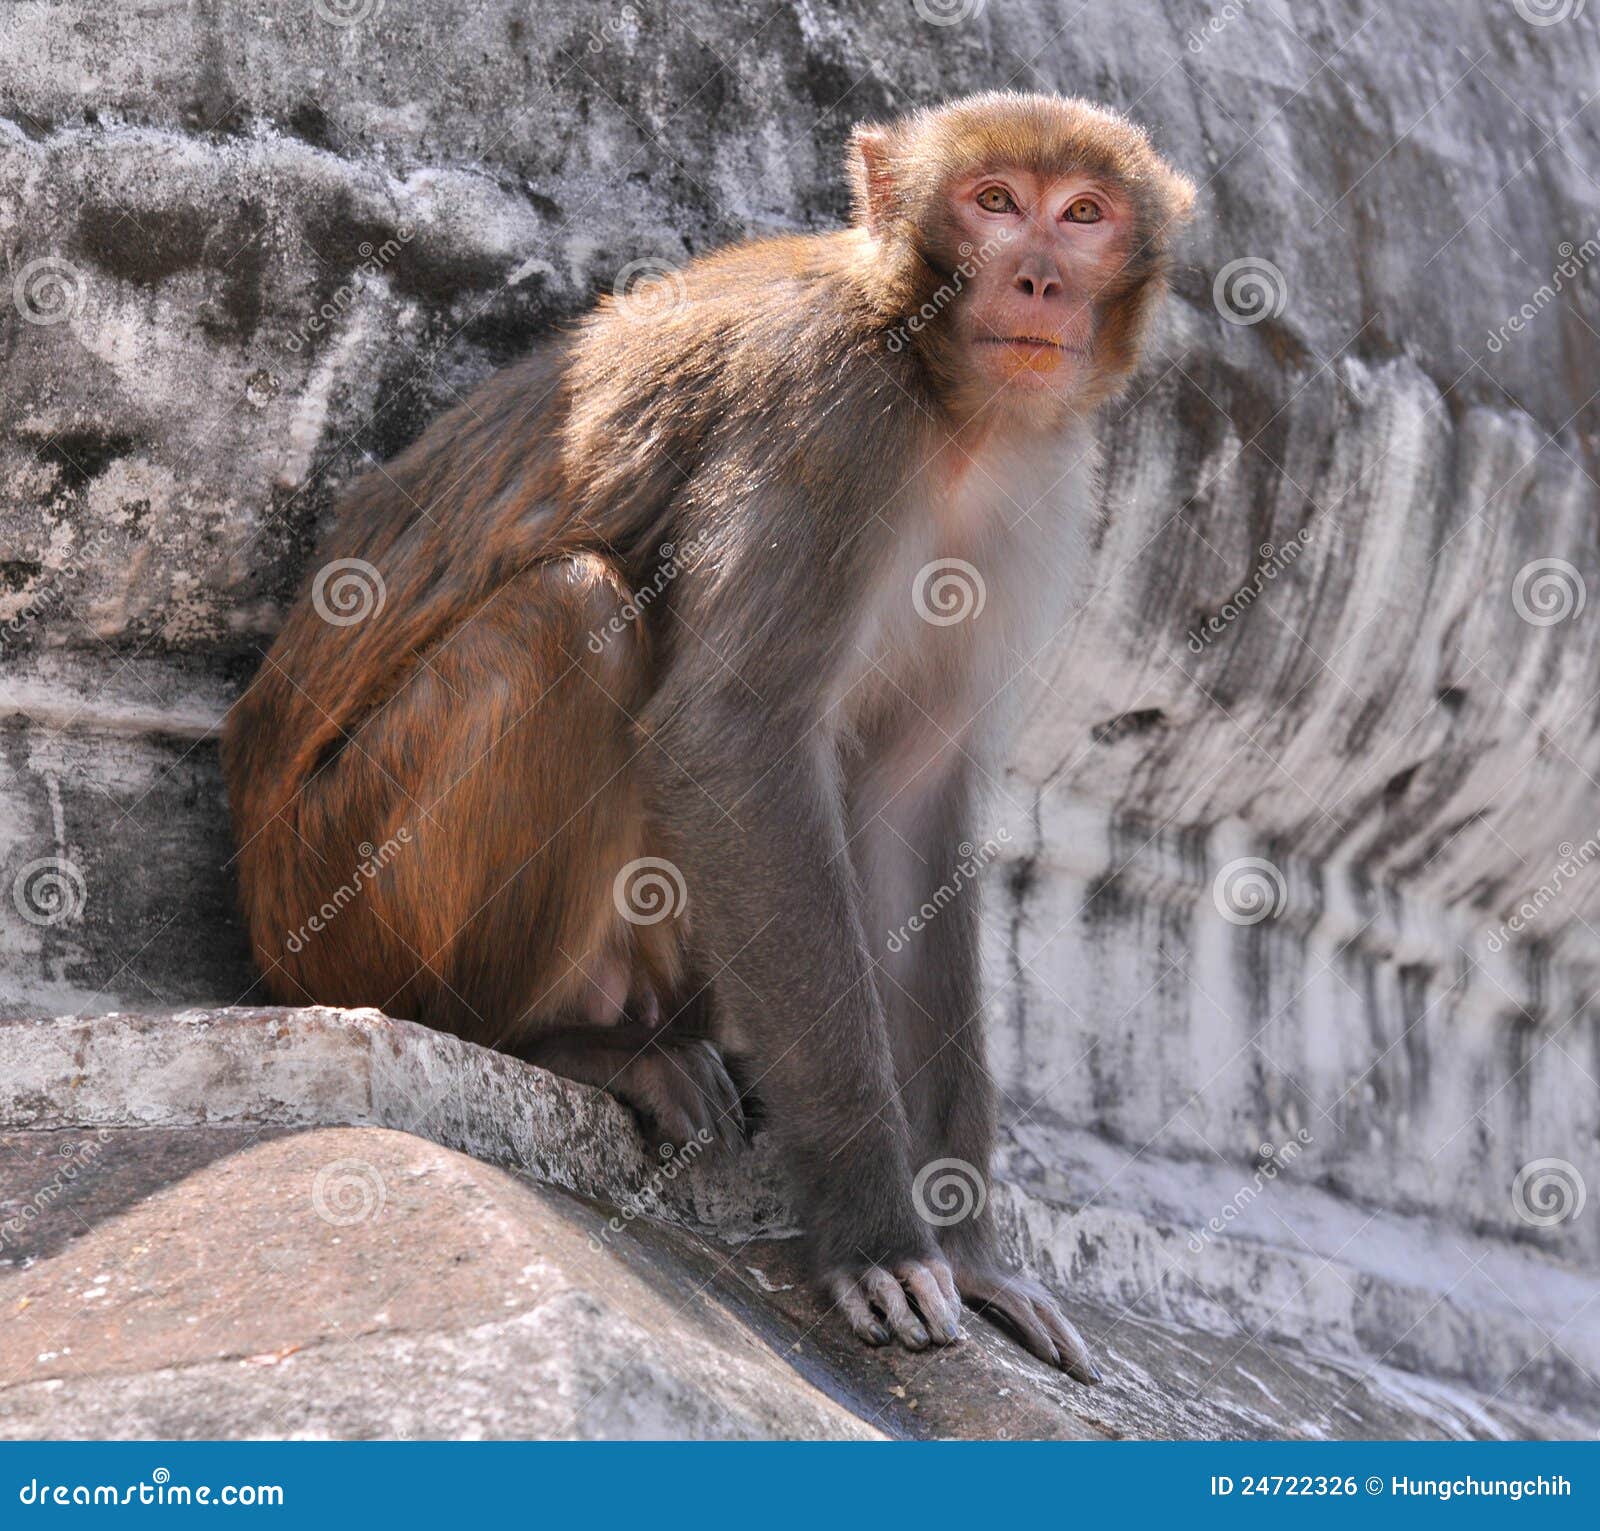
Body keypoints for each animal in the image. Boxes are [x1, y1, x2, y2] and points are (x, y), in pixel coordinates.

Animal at [222, 91, 1195, 1382]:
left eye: (1082, 214)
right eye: (994, 202)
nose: (1036, 277)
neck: (941, 396)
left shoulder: (1028, 490)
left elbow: (908, 805)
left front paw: (970, 1248)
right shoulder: (830, 415)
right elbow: (730, 740)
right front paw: (878, 1239)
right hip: (336, 900)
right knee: (572, 612)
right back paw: (551, 1045)